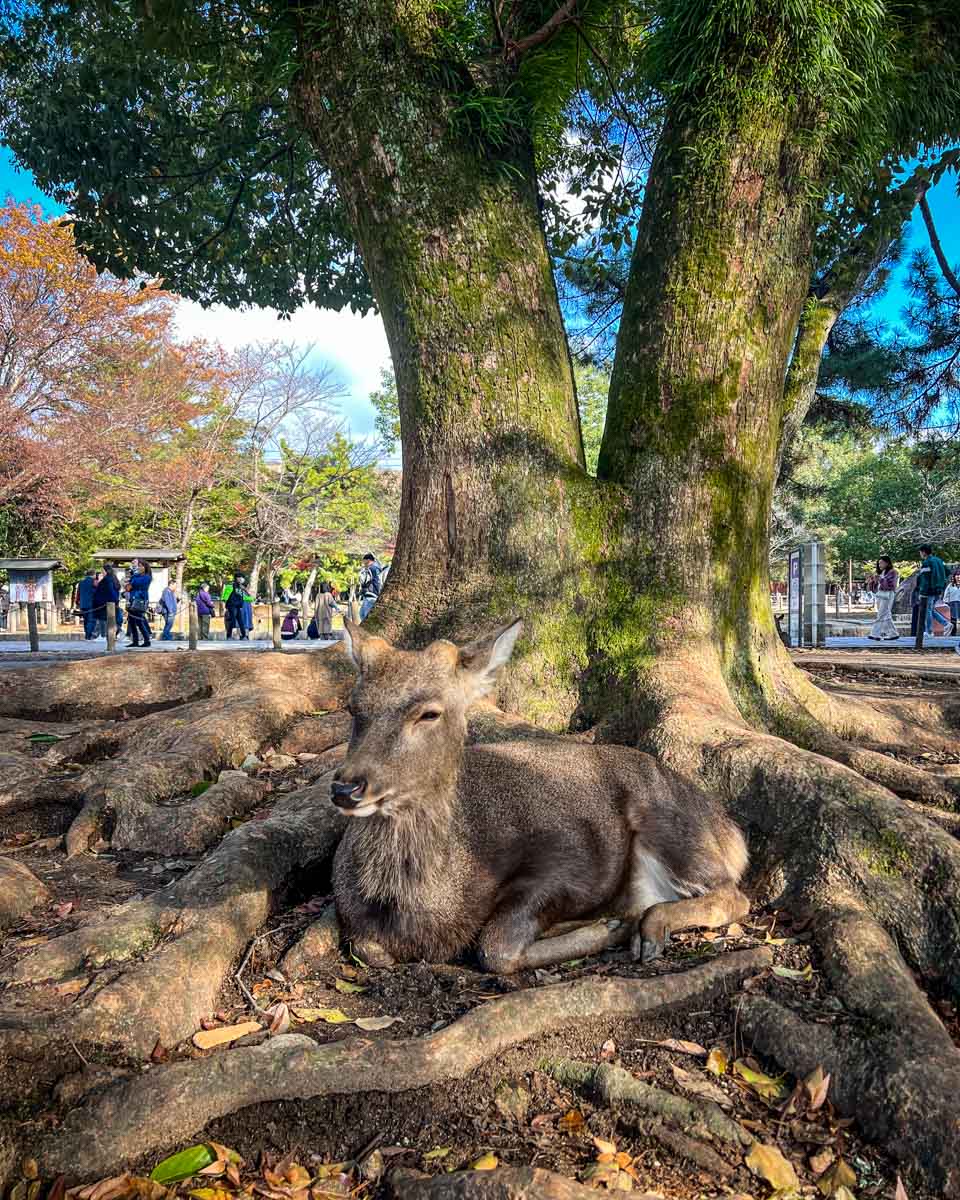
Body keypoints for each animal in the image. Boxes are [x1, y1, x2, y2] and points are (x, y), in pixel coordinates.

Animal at [329, 619, 749, 972]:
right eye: (353, 707)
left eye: (429, 713)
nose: (346, 788)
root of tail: (730, 830)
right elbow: (369, 948)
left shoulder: (571, 857)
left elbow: (494, 947)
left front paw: (607, 927)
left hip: (672, 826)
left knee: (733, 893)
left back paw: (646, 929)